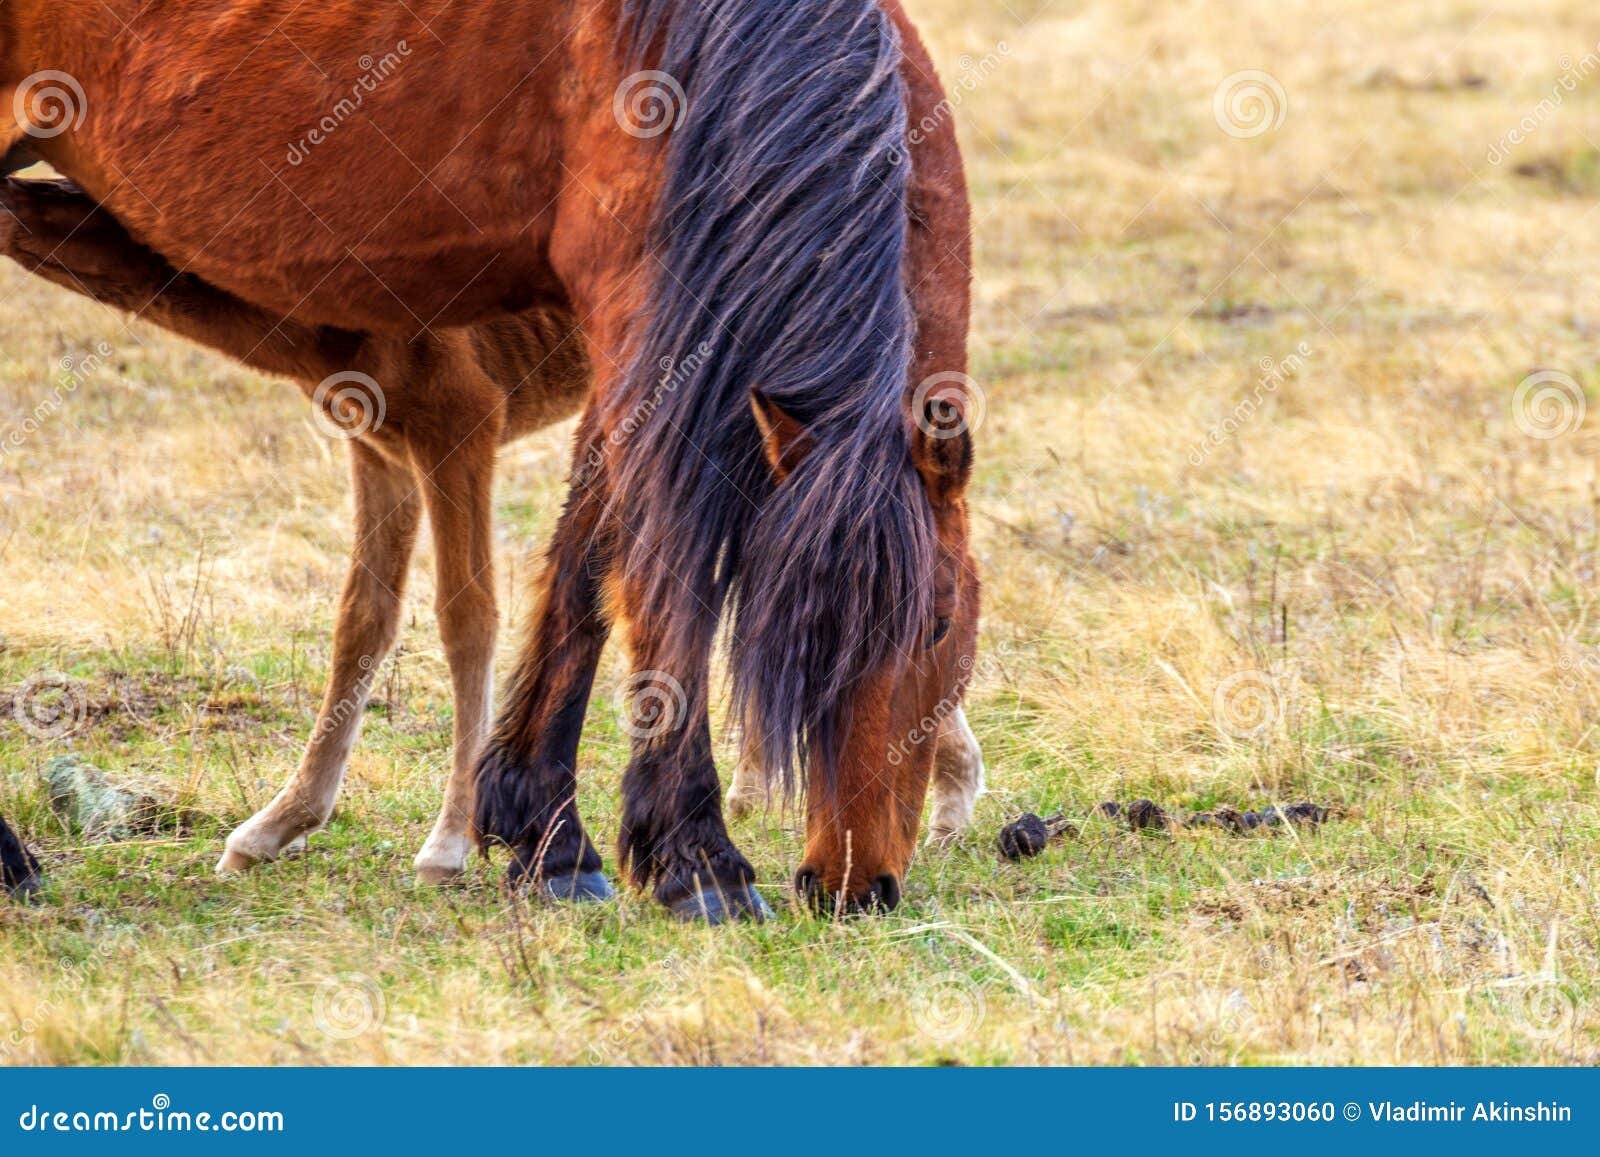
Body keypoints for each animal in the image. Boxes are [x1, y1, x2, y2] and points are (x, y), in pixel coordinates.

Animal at [0, 0, 980, 918]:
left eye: (939, 626)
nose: (851, 883)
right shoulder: (591, 346)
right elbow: (602, 582)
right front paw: (680, 858)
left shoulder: (512, 400)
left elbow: (557, 575)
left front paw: (544, 836)